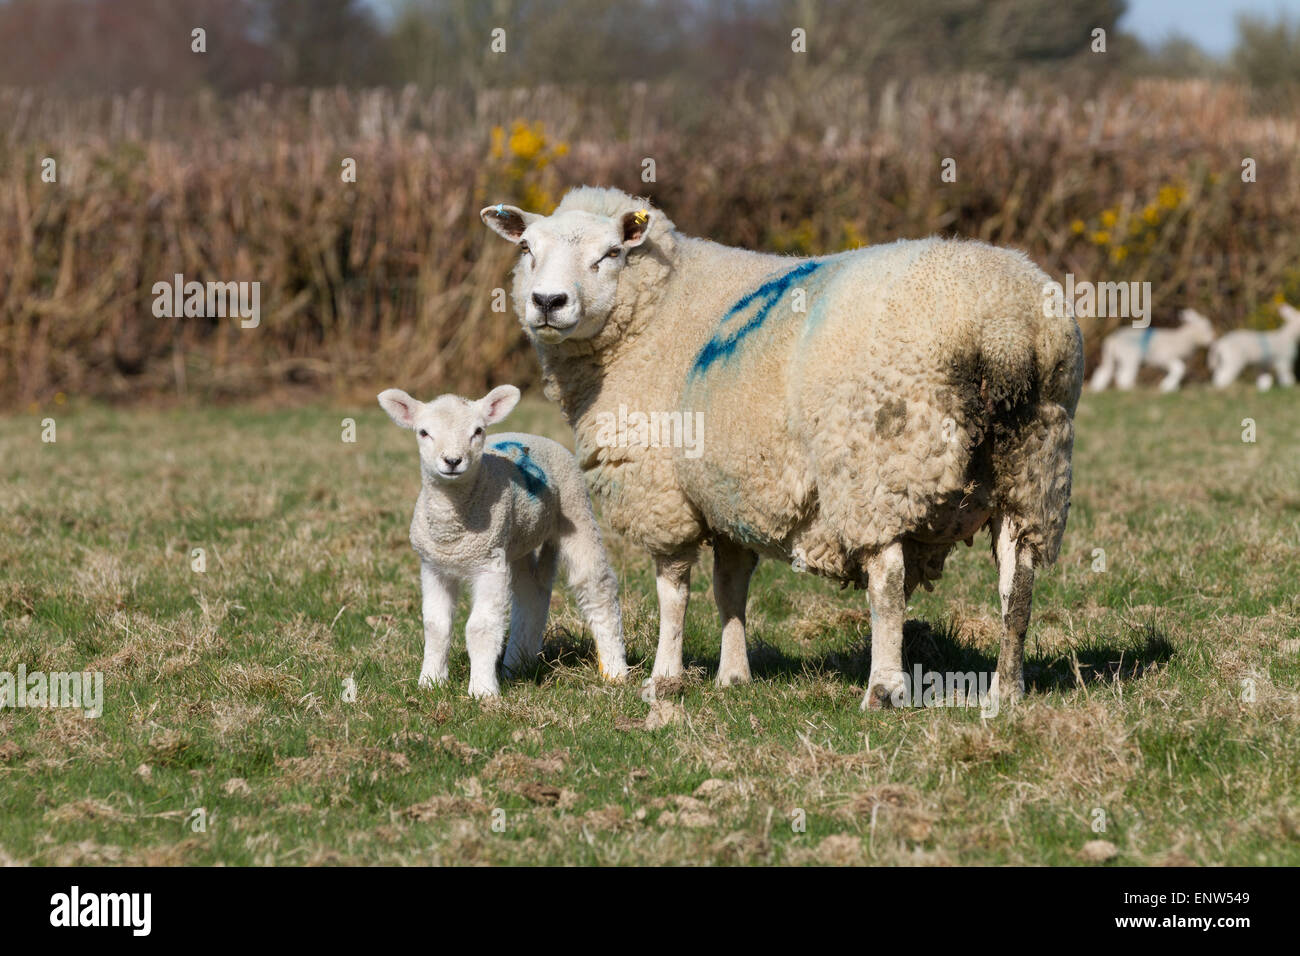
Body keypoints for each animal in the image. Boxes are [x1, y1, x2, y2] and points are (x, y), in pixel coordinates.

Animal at [378, 384, 628, 698]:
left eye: (477, 431)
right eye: (423, 432)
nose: (452, 461)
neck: (453, 531)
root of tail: (534, 437)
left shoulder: (489, 564)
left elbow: (480, 627)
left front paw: (483, 691)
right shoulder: (434, 566)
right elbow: (436, 625)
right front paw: (430, 682)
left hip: (576, 509)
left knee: (596, 587)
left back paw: (615, 670)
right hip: (516, 540)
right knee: (530, 592)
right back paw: (517, 664)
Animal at [480, 186, 1083, 708]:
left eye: (609, 254)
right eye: (528, 249)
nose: (548, 302)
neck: (657, 311)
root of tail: (1002, 329)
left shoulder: (663, 493)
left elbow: (674, 591)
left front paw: (663, 680)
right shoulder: (726, 490)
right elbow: (730, 587)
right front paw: (732, 676)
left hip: (877, 468)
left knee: (888, 584)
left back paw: (883, 690)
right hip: (1032, 470)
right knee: (1017, 586)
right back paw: (1006, 691)